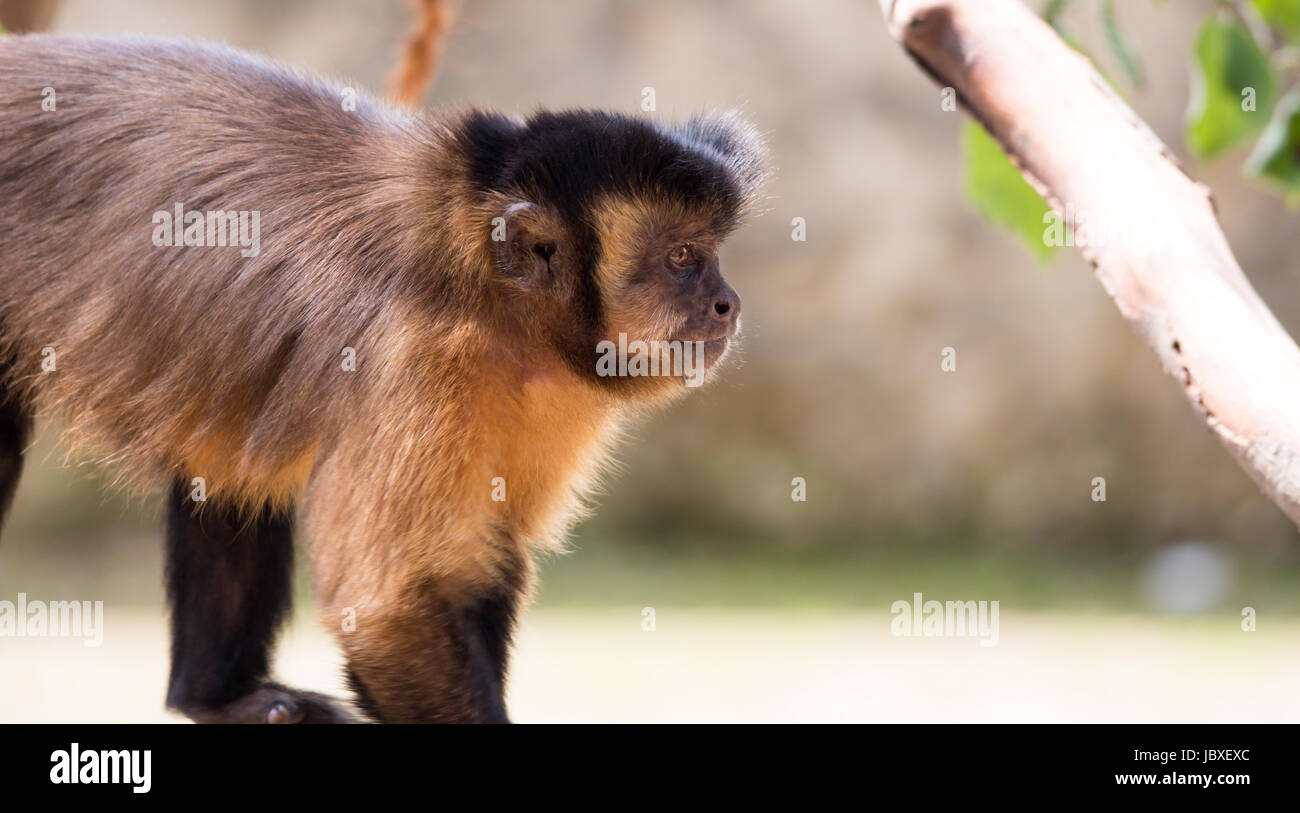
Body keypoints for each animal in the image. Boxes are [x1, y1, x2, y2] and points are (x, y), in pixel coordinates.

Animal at [0, 34, 766, 723]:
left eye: (709, 254)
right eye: (682, 258)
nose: (728, 302)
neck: (482, 289)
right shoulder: (417, 362)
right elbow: (389, 603)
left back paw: (213, 698)